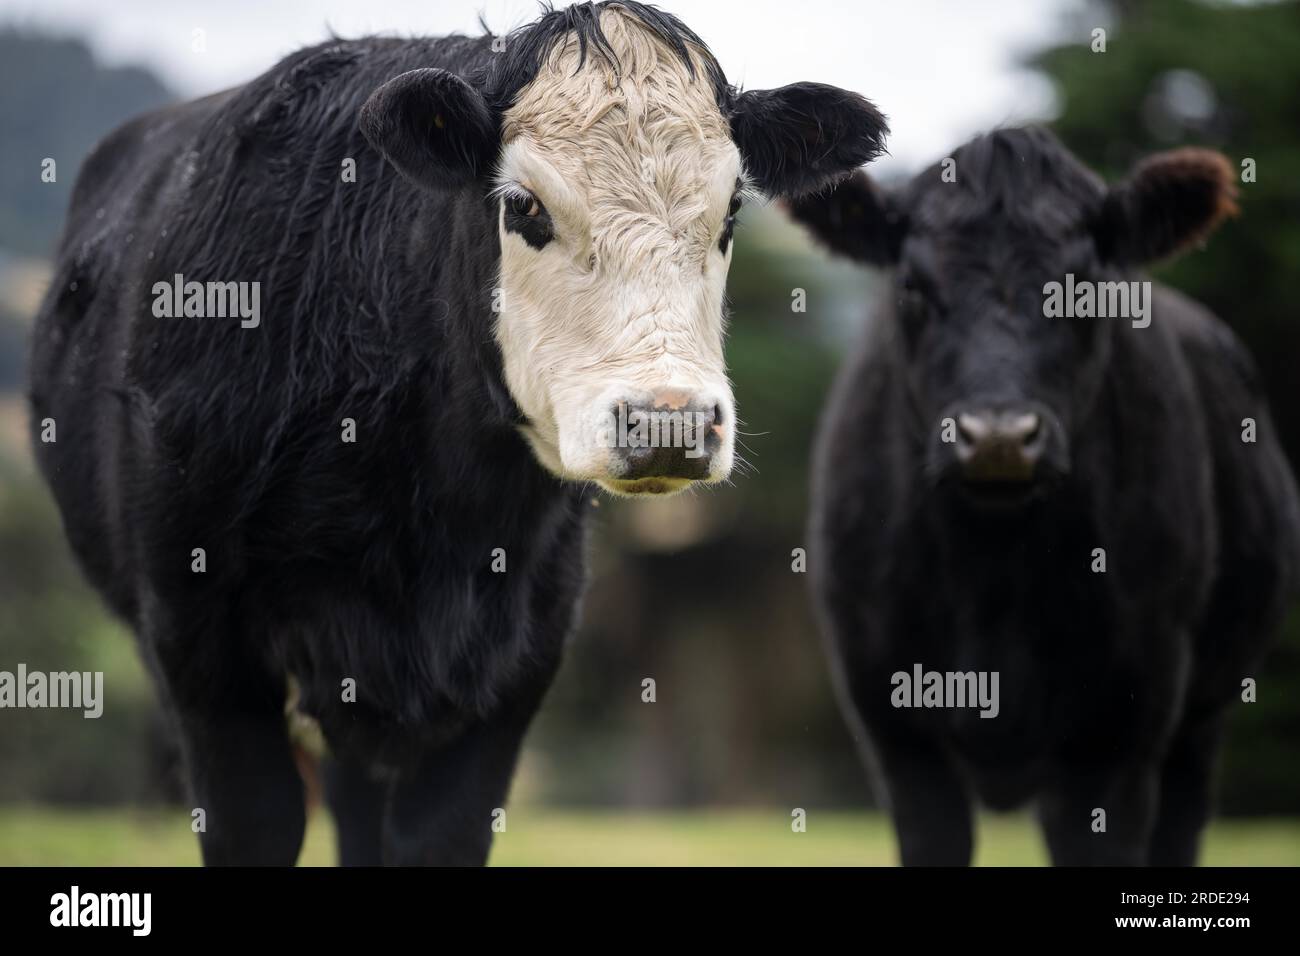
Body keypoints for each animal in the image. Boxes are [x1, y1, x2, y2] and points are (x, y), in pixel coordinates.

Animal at [28, 1, 887, 866]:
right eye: (524, 206)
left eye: (733, 208)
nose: (667, 418)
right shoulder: (200, 649)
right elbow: (258, 823)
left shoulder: (519, 658)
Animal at [787, 126, 1300, 866]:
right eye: (912, 287)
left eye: (1085, 285)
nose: (998, 437)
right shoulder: (896, 733)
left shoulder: (1121, 733)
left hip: (1202, 722)